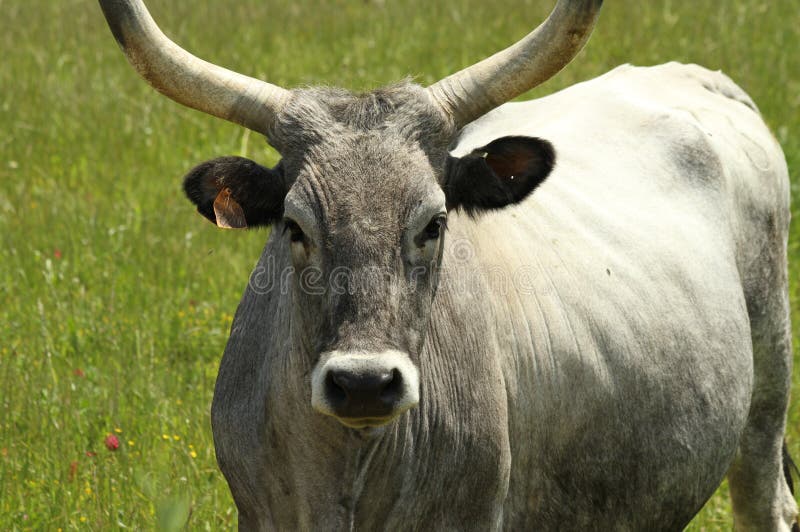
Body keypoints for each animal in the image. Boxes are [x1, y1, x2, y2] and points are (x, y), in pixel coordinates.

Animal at [98, 0, 798, 529]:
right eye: (294, 227)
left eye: (434, 224)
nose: (364, 383)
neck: (351, 470)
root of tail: (697, 78)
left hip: (767, 398)